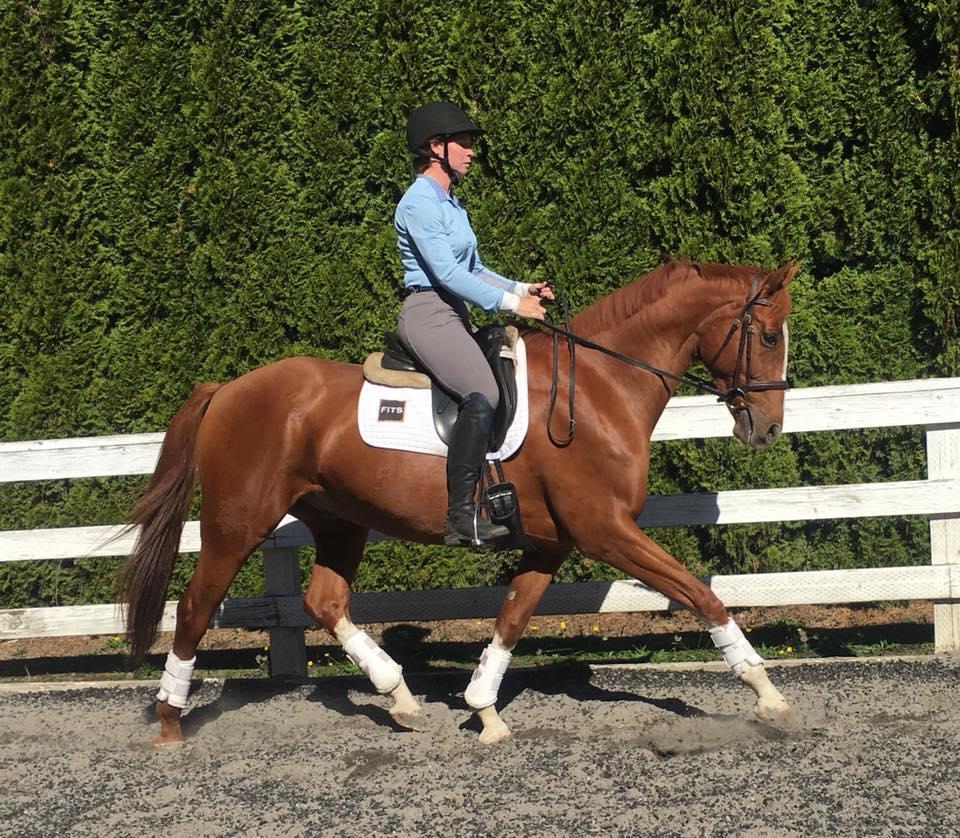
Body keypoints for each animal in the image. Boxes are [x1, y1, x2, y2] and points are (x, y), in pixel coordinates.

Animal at [118, 259, 797, 746]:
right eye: (767, 335)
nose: (766, 429)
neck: (599, 389)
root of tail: (227, 388)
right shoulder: (605, 530)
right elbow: (700, 593)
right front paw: (766, 692)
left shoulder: (553, 541)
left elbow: (513, 618)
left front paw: (484, 711)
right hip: (236, 523)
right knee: (195, 607)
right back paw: (170, 718)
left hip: (338, 520)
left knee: (324, 601)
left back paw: (399, 697)